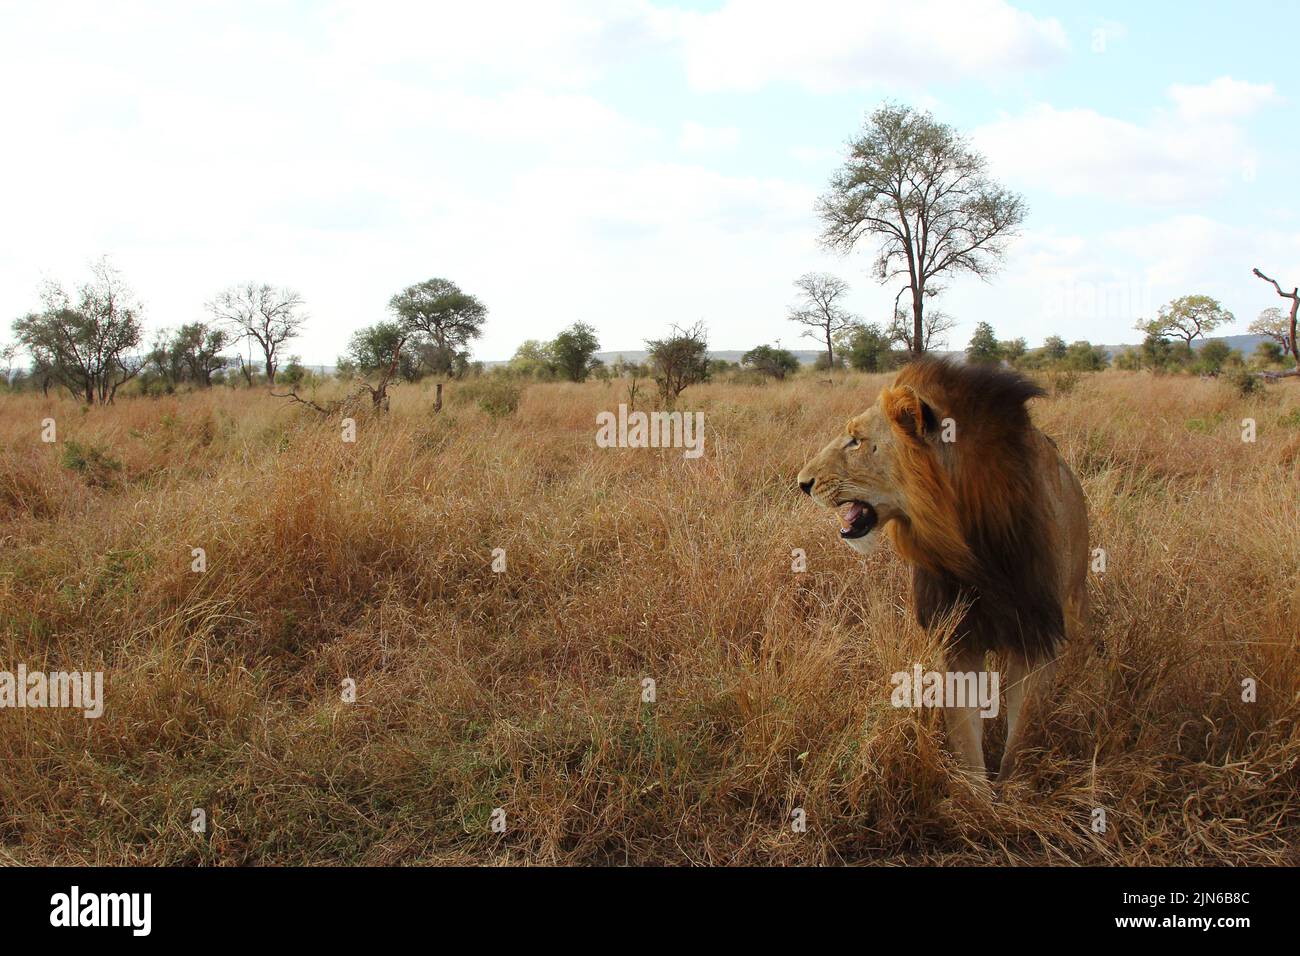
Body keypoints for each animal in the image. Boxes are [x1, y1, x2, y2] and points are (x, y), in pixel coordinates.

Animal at [797, 358, 1089, 782]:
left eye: (855, 440)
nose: (802, 483)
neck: (969, 545)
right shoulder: (956, 640)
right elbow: (967, 744)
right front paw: (977, 796)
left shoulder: (1036, 638)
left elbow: (1019, 737)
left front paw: (1010, 792)